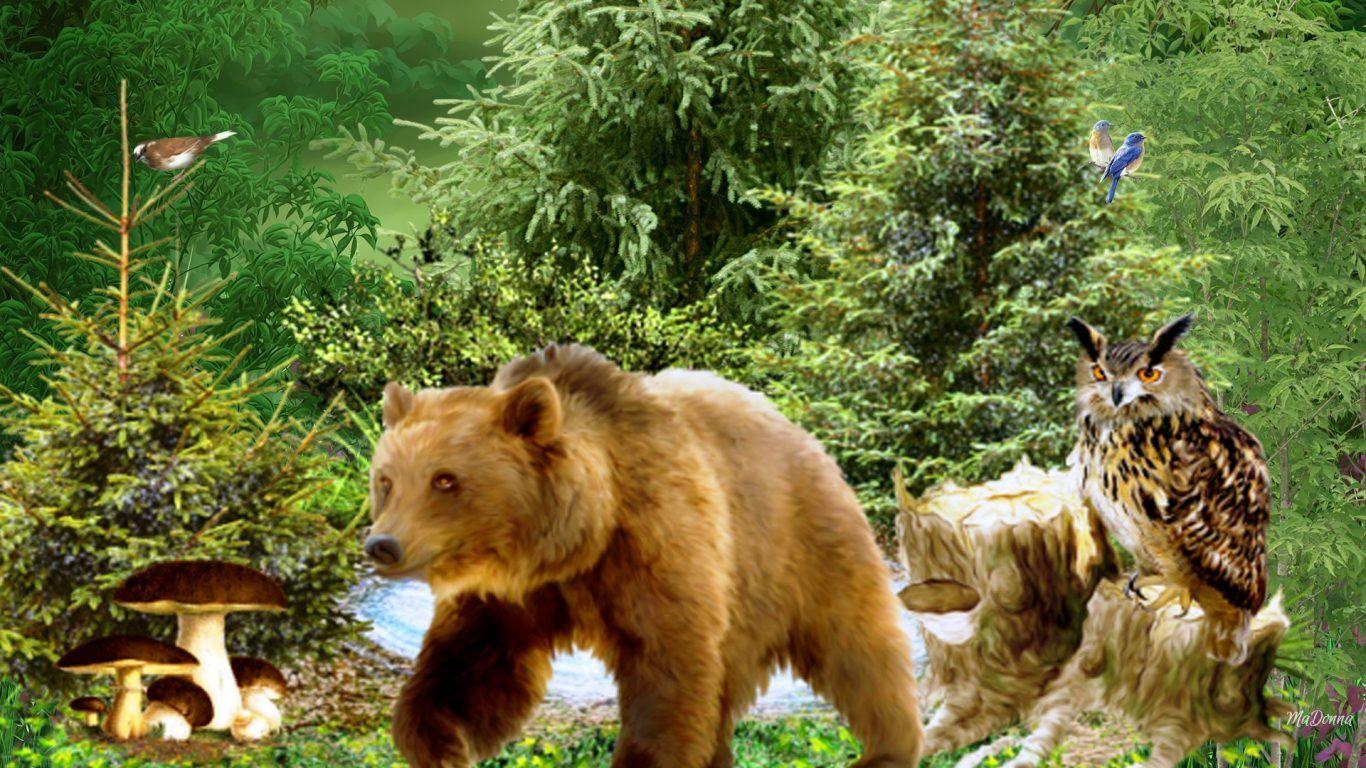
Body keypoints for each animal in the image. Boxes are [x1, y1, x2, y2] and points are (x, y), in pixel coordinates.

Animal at [363, 344, 922, 768]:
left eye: (445, 480)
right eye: (386, 480)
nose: (382, 544)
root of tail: (798, 429)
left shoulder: (654, 544)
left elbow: (669, 669)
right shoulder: (510, 597)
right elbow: (472, 667)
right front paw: (436, 739)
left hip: (797, 541)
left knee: (857, 646)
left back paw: (889, 746)